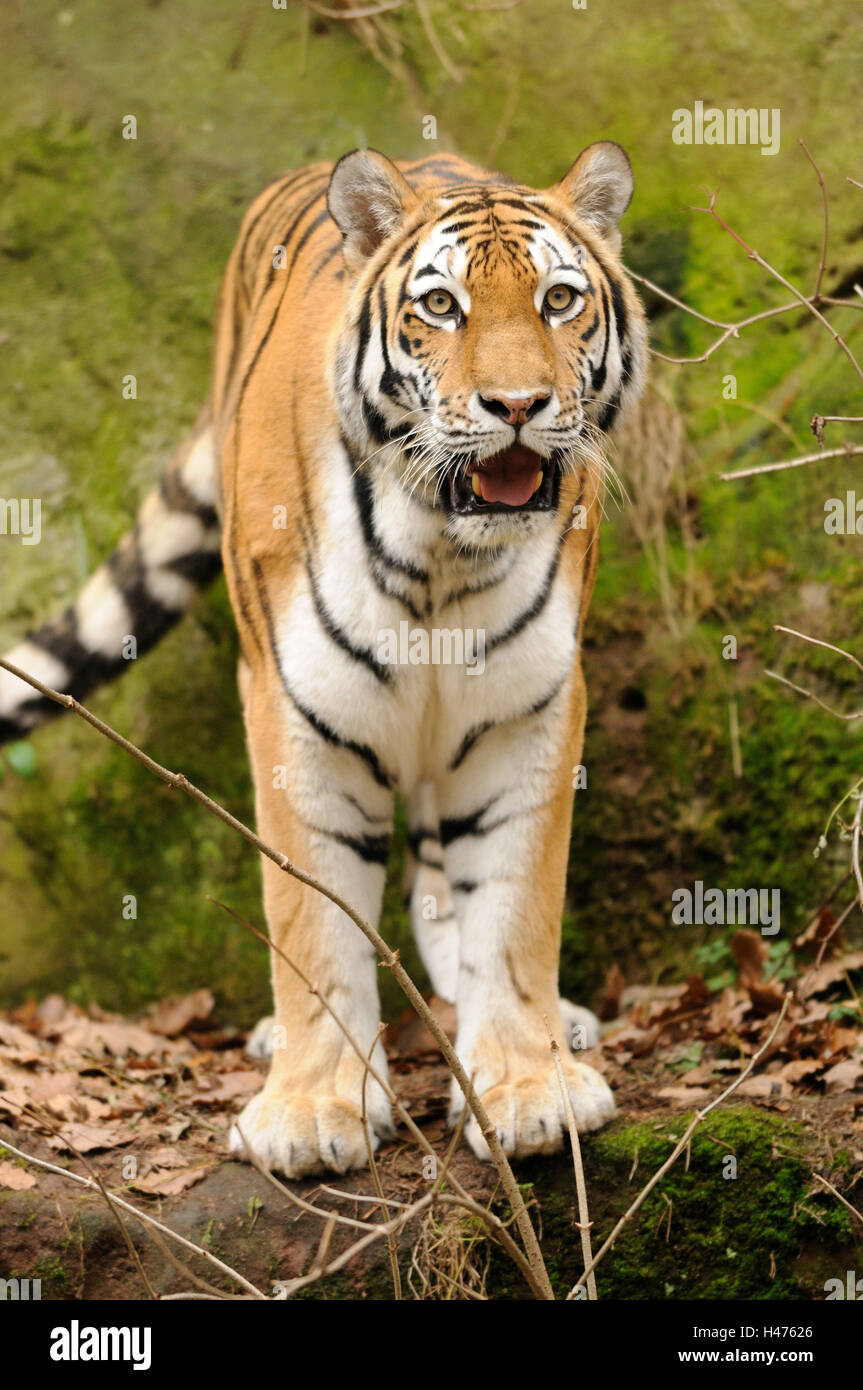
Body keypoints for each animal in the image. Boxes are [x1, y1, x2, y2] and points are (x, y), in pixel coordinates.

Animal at [0, 142, 648, 1177]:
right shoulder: (296, 702)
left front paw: (526, 1086)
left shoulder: (528, 705)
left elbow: (513, 905)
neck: (443, 555)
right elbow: (312, 917)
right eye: (441, 306)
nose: (516, 406)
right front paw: (311, 1108)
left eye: (557, 300)